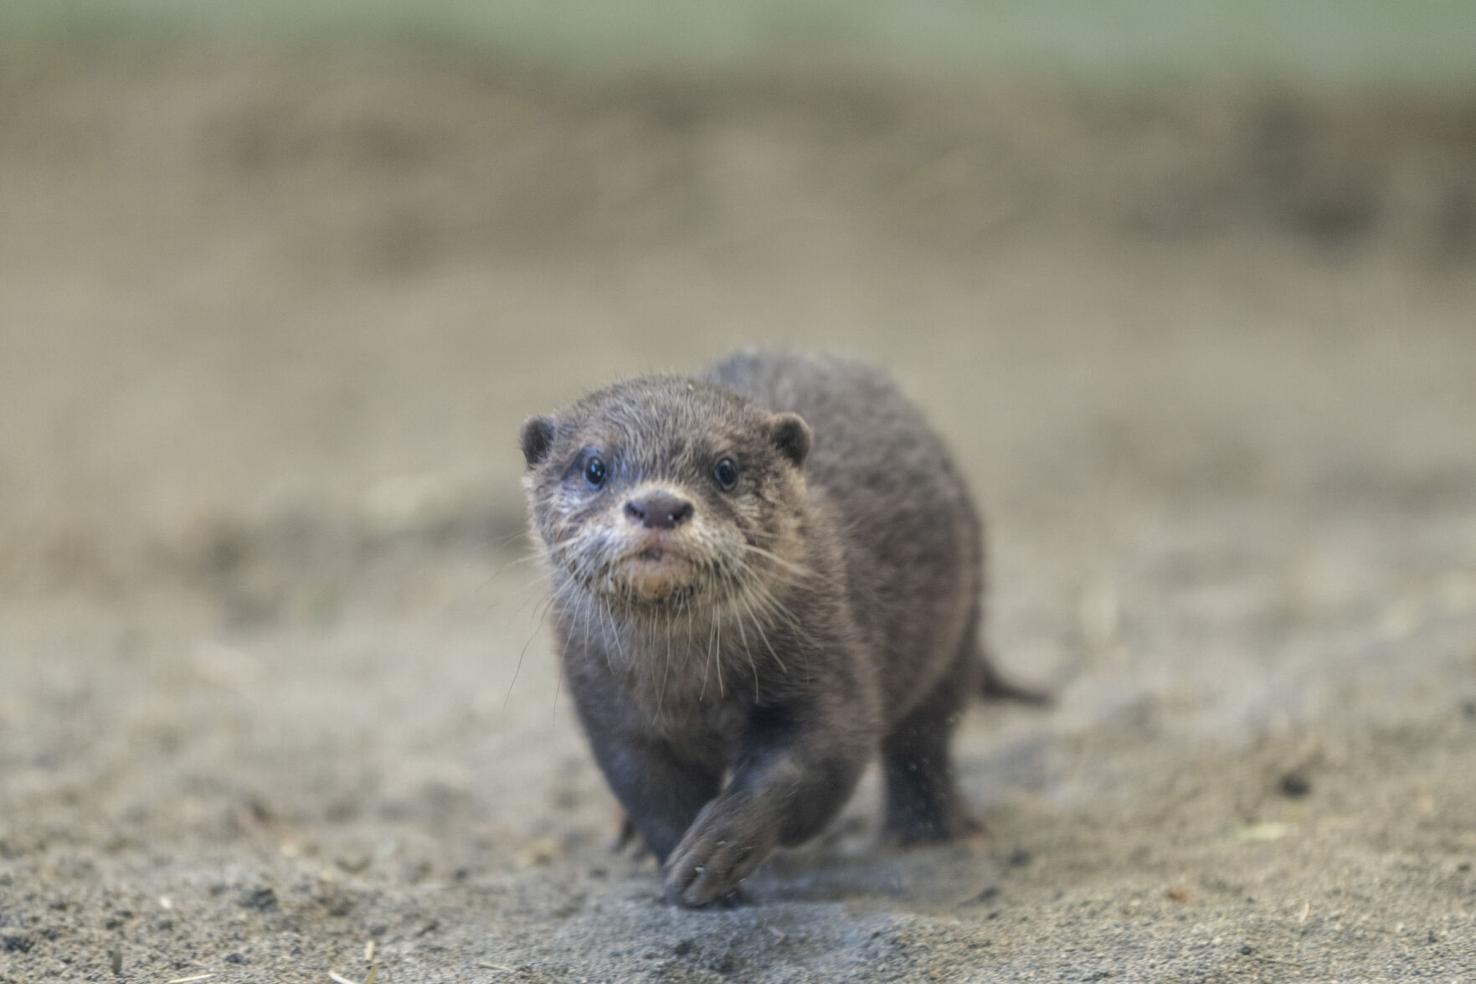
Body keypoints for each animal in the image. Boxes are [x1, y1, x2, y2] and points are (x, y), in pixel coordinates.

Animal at [519, 351, 1042, 907]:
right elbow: (652, 792)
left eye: (725, 469)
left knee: (927, 734)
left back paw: (929, 827)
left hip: (959, 620)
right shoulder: (611, 712)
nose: (659, 505)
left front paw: (715, 849)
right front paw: (685, 867)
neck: (691, 687)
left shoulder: (830, 655)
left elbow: (815, 758)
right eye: (595, 467)